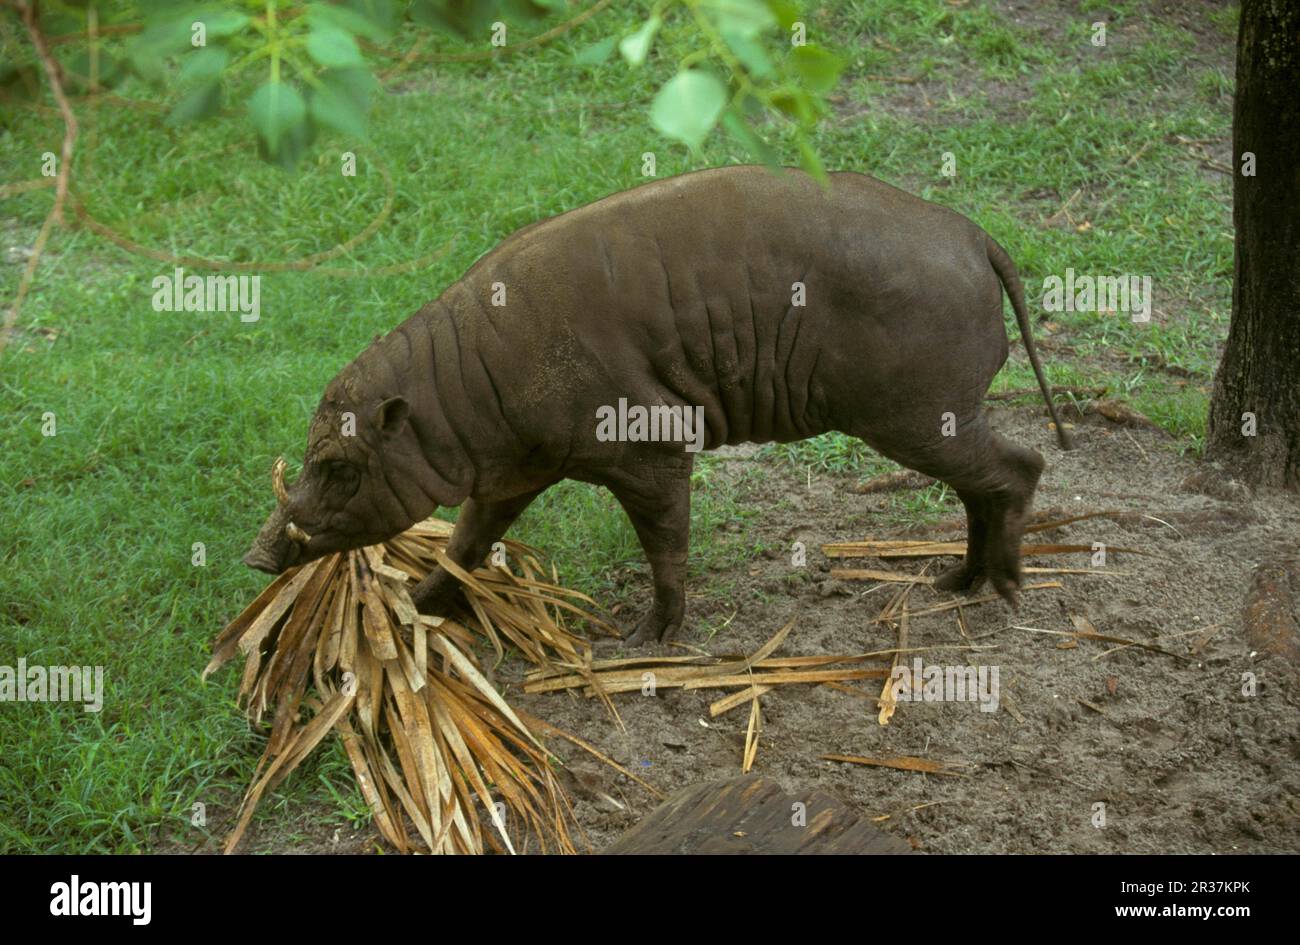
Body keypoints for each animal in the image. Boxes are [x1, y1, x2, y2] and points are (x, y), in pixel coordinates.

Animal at [244, 166, 1072, 645]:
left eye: (339, 468)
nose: (257, 556)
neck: (463, 387)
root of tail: (977, 237)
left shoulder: (647, 447)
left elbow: (665, 545)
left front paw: (649, 637)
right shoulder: (513, 471)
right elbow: (469, 541)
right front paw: (420, 602)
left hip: (914, 413)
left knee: (1021, 466)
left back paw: (1007, 588)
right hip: (934, 413)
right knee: (985, 481)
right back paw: (957, 583)